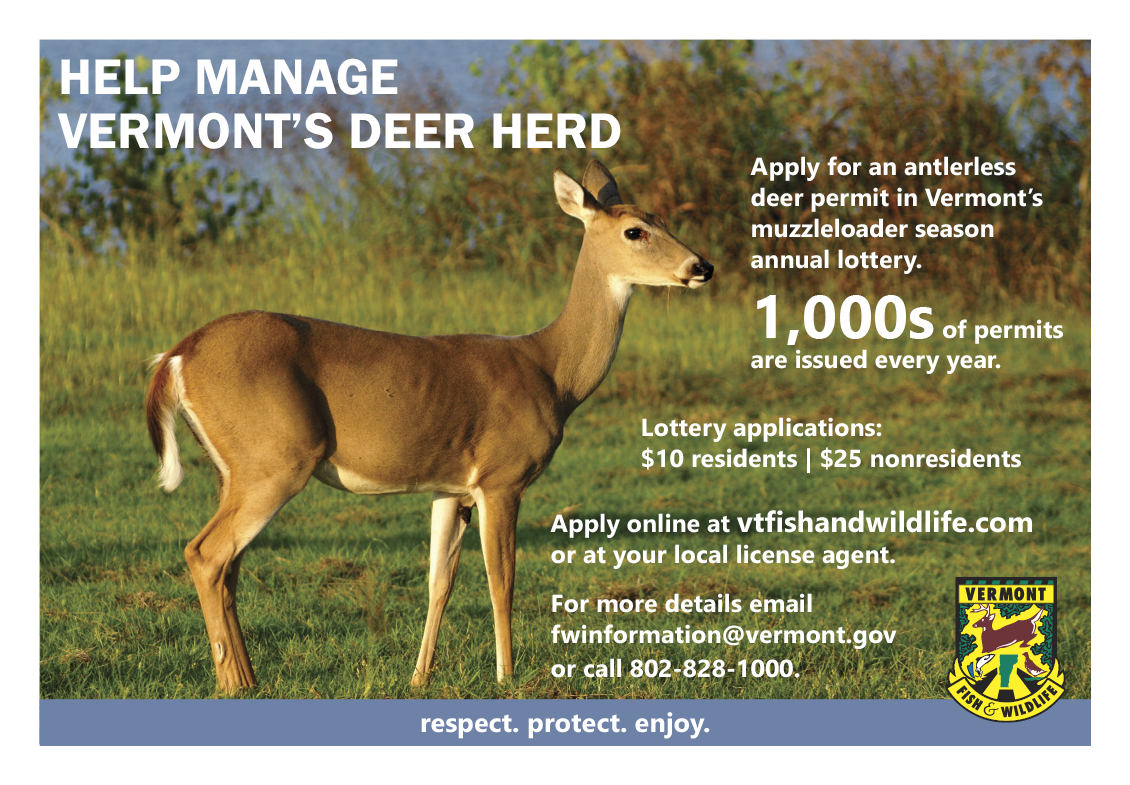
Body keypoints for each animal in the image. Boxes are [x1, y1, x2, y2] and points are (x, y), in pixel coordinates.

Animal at [144, 160, 714, 694]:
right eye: (635, 231)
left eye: (664, 219)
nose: (702, 265)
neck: (552, 372)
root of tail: (176, 356)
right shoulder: (502, 478)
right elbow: (501, 580)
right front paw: (507, 677)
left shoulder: (450, 488)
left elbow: (440, 580)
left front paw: (420, 676)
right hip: (276, 457)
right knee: (206, 553)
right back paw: (234, 682)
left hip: (233, 467)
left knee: (228, 566)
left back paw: (248, 678)